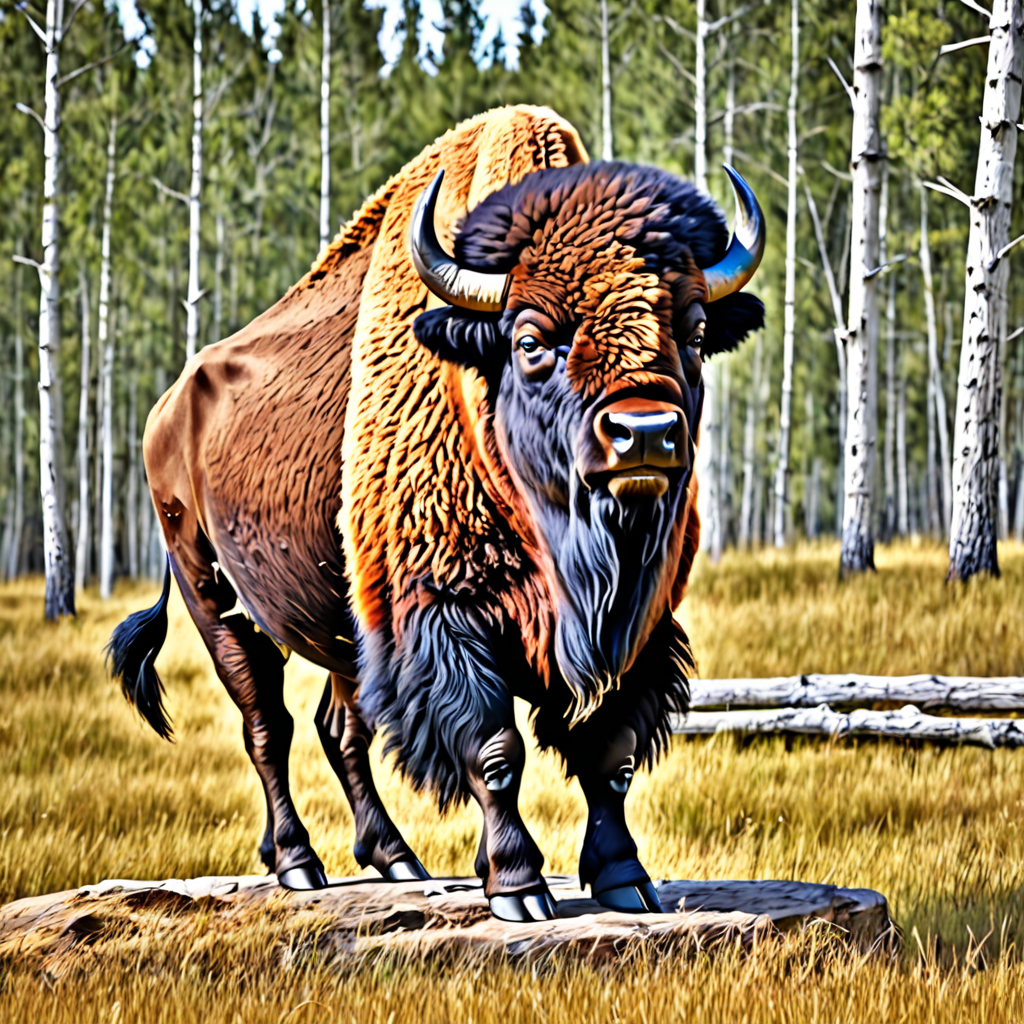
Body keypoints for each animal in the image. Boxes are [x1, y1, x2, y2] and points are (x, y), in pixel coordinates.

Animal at [108, 105, 764, 922]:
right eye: (530, 338)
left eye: (696, 330)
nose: (643, 434)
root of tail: (170, 405)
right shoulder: (444, 616)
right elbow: (494, 749)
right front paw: (518, 887)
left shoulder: (637, 627)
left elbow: (607, 751)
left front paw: (624, 879)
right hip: (215, 598)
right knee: (268, 725)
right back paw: (299, 865)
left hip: (345, 623)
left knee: (338, 728)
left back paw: (395, 858)